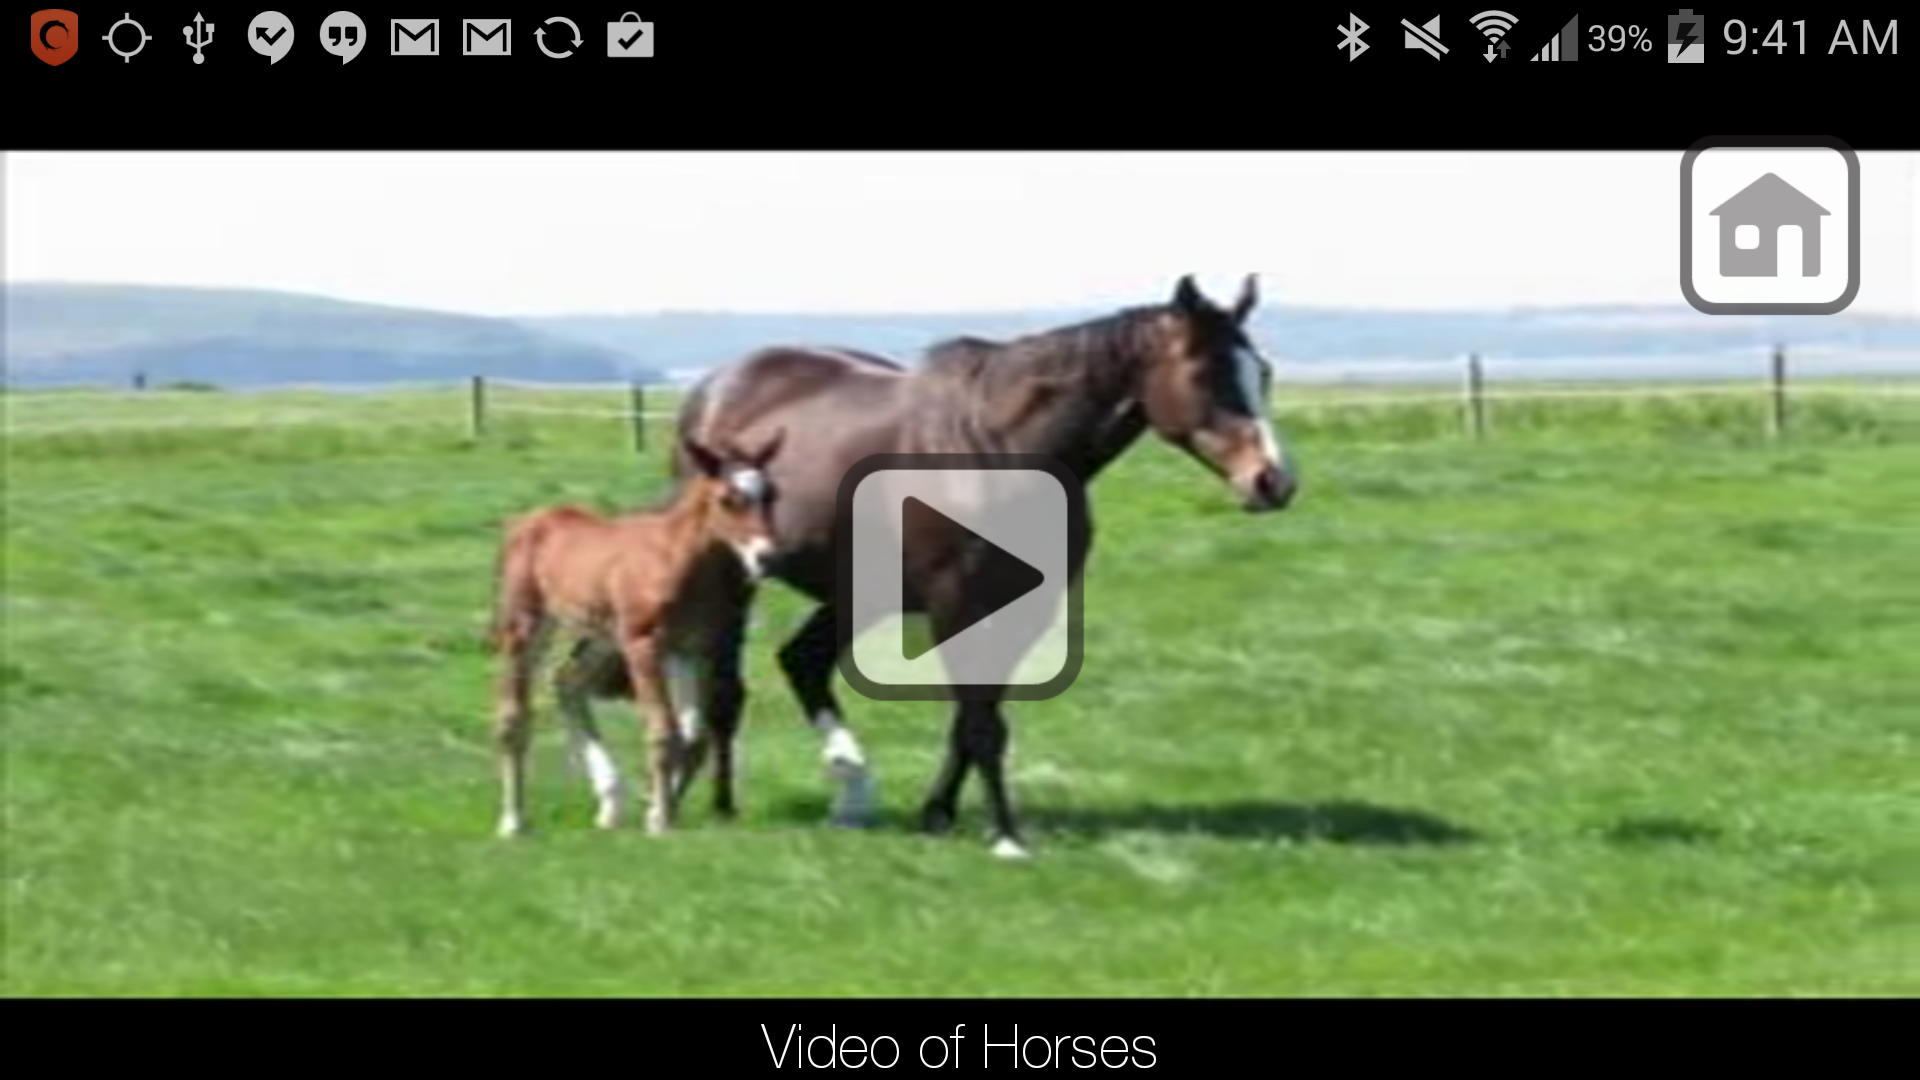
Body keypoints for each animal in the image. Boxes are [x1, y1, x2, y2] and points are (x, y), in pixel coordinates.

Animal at [488, 431, 783, 839]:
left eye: (772, 494)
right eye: (727, 499)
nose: (767, 557)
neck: (681, 560)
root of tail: (532, 520)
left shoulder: (694, 649)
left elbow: (693, 735)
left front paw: (659, 809)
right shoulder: (646, 643)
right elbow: (662, 730)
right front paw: (661, 821)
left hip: (606, 635)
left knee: (567, 680)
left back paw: (609, 804)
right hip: (527, 624)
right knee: (513, 715)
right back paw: (513, 821)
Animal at [584, 273, 1296, 858]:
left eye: (1261, 370)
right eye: (1204, 373)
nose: (1272, 481)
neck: (998, 449)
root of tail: (714, 391)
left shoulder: (1018, 608)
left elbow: (972, 719)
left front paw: (939, 815)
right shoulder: (955, 604)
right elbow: (982, 723)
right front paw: (1007, 836)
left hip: (857, 593)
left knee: (802, 662)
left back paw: (851, 793)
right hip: (742, 582)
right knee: (726, 689)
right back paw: (720, 801)